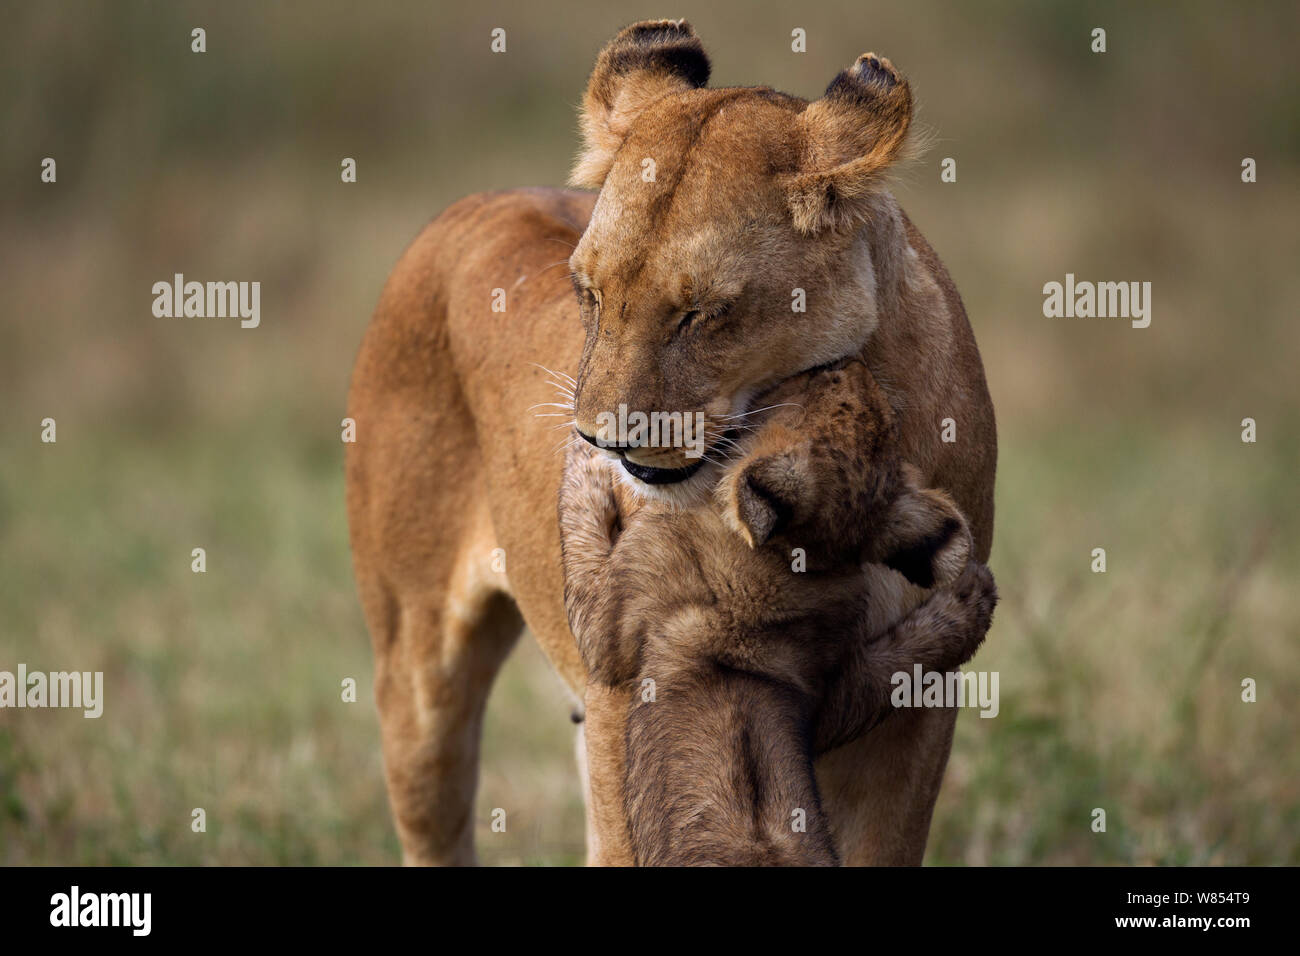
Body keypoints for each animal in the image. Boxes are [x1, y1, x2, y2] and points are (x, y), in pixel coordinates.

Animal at [558, 361, 997, 865]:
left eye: (832, 392)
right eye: (883, 426)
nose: (849, 366)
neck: (777, 561)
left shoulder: (614, 618)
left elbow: (582, 536)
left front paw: (584, 451)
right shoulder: (826, 689)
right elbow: (896, 666)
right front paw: (974, 597)